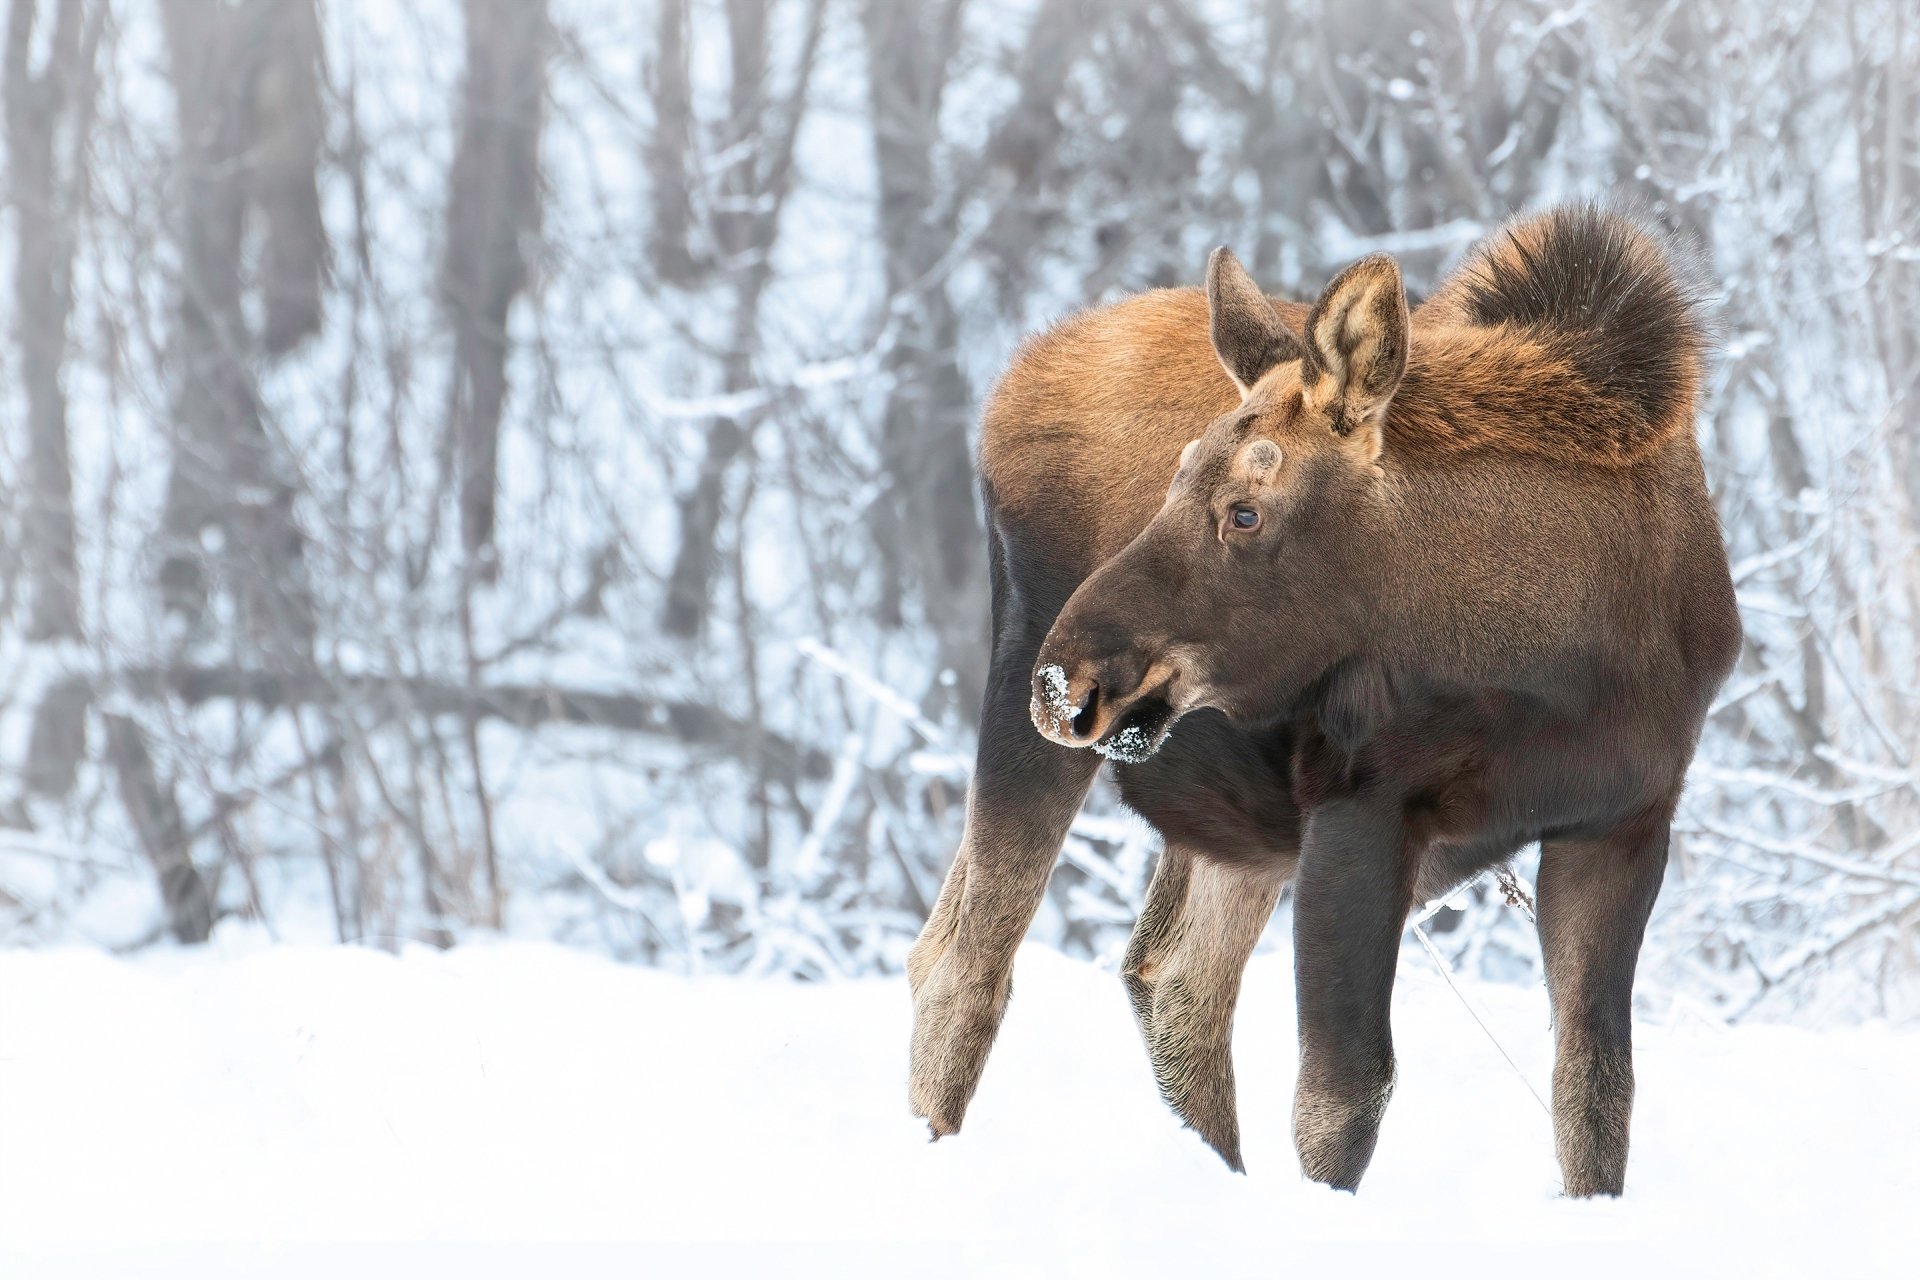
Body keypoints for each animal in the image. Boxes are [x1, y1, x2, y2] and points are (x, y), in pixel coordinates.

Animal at [904, 203, 1739, 1197]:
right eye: (1176, 478)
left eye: (1245, 509)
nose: (1067, 675)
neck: (1560, 666)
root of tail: (1014, 382)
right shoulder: (1360, 804)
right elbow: (1344, 1099)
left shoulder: (1622, 825)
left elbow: (1596, 1098)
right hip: (1036, 729)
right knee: (968, 965)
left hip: (1225, 817)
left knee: (1167, 979)